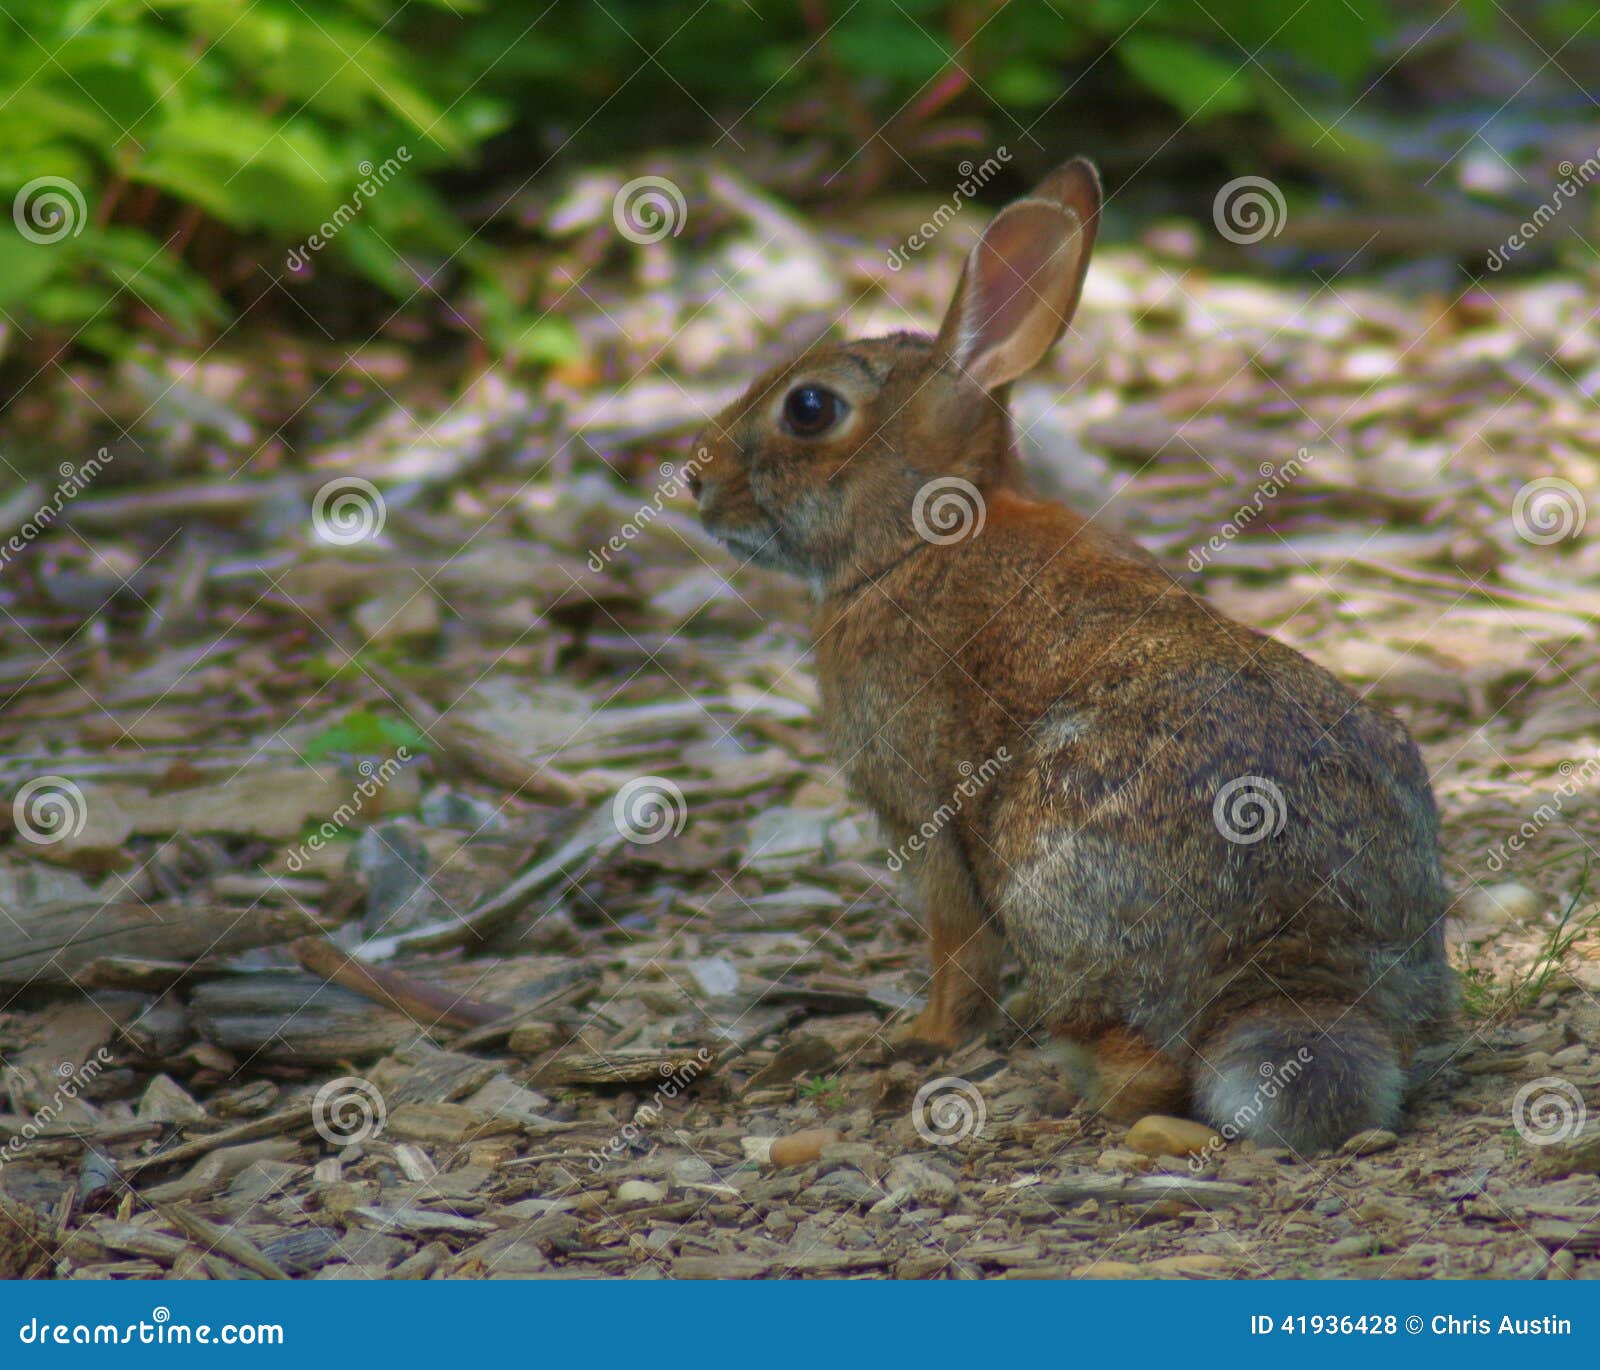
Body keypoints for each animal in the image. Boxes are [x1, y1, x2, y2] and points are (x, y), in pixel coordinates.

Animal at [688, 156, 1455, 1153]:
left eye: (810, 409)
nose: (695, 478)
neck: (914, 536)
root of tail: (1294, 952)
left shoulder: (922, 814)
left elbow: (954, 944)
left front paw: (926, 1035)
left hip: (1045, 865)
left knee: (1145, 1072)